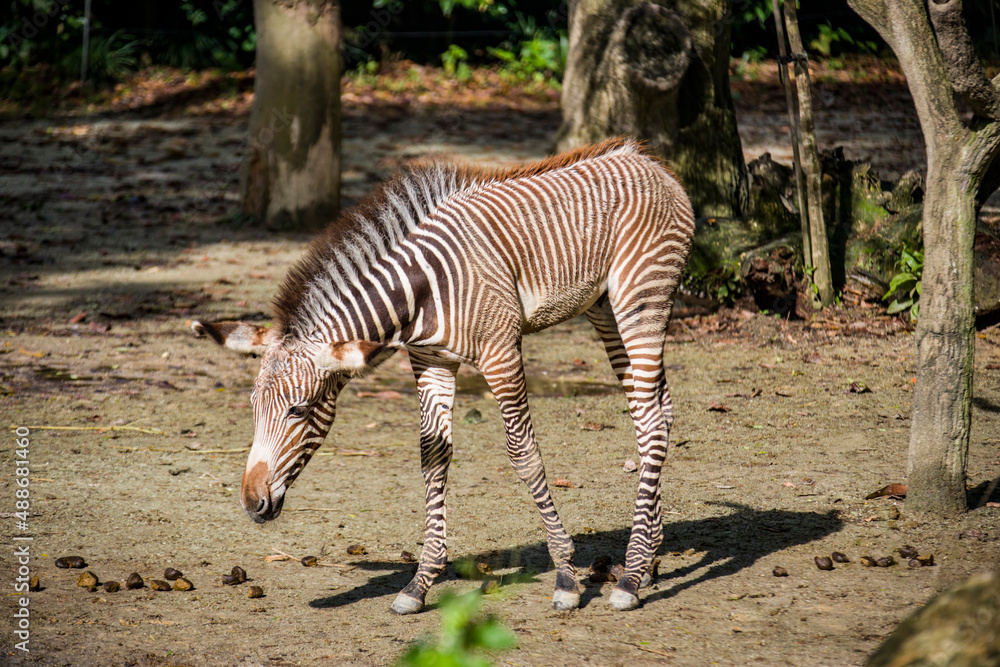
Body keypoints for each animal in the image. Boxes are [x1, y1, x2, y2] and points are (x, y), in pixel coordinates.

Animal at [190, 138, 695, 613]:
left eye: (297, 410)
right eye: (253, 408)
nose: (251, 503)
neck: (421, 293)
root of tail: (646, 160)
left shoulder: (500, 352)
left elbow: (524, 455)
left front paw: (566, 578)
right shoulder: (430, 361)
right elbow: (432, 456)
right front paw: (419, 584)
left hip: (641, 300)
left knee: (651, 420)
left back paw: (631, 578)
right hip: (604, 308)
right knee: (658, 412)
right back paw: (648, 558)